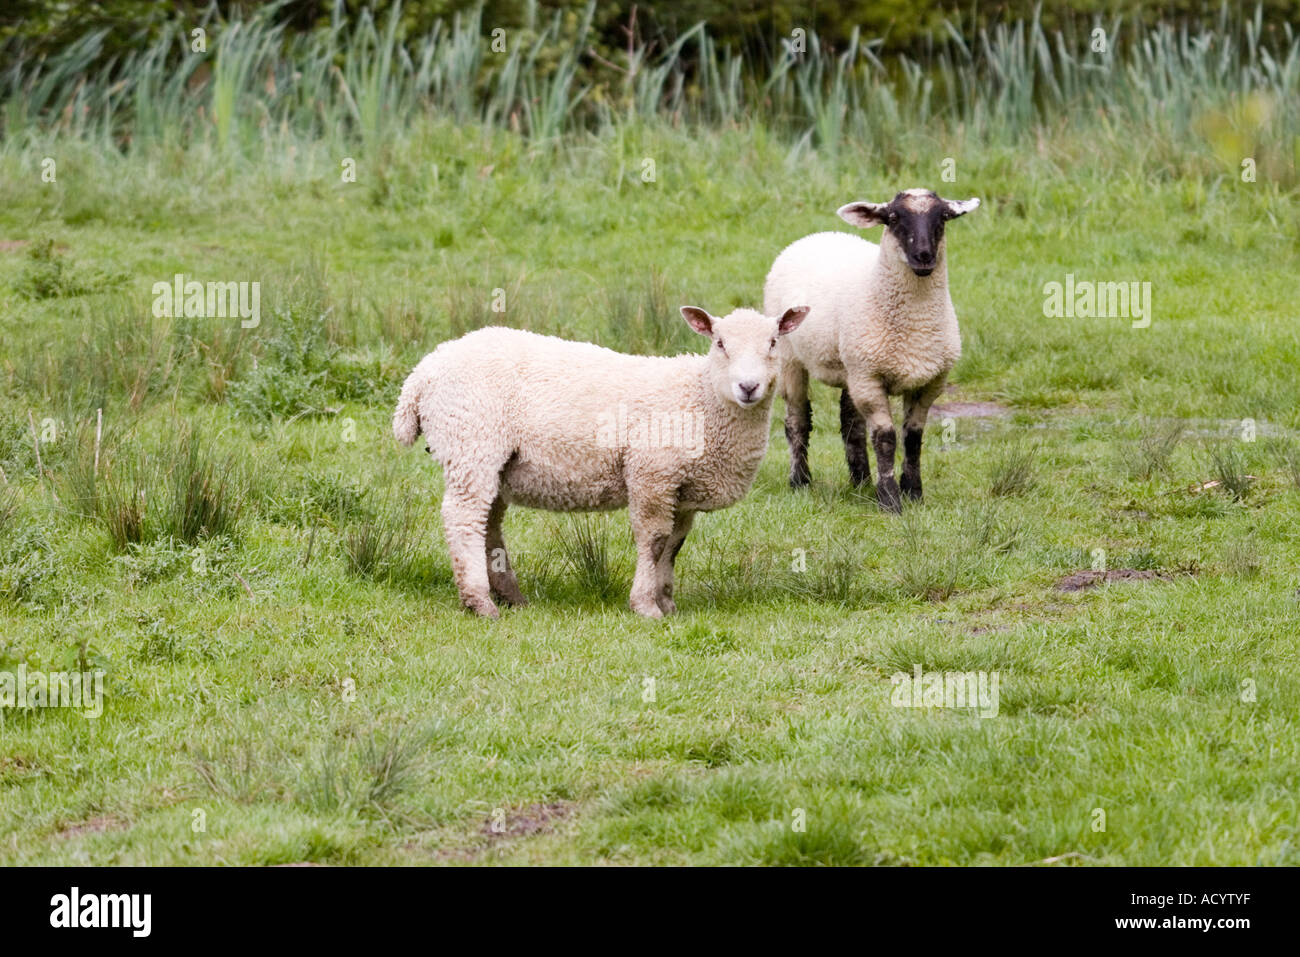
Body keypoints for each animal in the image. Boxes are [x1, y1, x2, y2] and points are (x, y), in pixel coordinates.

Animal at [392, 304, 810, 618]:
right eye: (720, 343)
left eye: (773, 342)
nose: (748, 387)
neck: (700, 397)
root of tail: (422, 372)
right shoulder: (651, 474)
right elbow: (654, 540)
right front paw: (646, 606)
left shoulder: (681, 489)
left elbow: (674, 545)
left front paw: (667, 601)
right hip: (472, 443)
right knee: (463, 518)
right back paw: (479, 602)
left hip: (491, 461)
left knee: (488, 524)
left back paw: (511, 596)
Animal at [763, 188, 979, 512]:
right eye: (893, 218)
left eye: (942, 217)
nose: (924, 256)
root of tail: (817, 235)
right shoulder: (870, 378)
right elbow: (885, 438)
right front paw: (890, 500)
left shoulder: (929, 382)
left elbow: (912, 437)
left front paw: (913, 492)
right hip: (792, 357)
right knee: (797, 420)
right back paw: (800, 480)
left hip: (851, 366)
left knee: (850, 423)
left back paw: (861, 481)